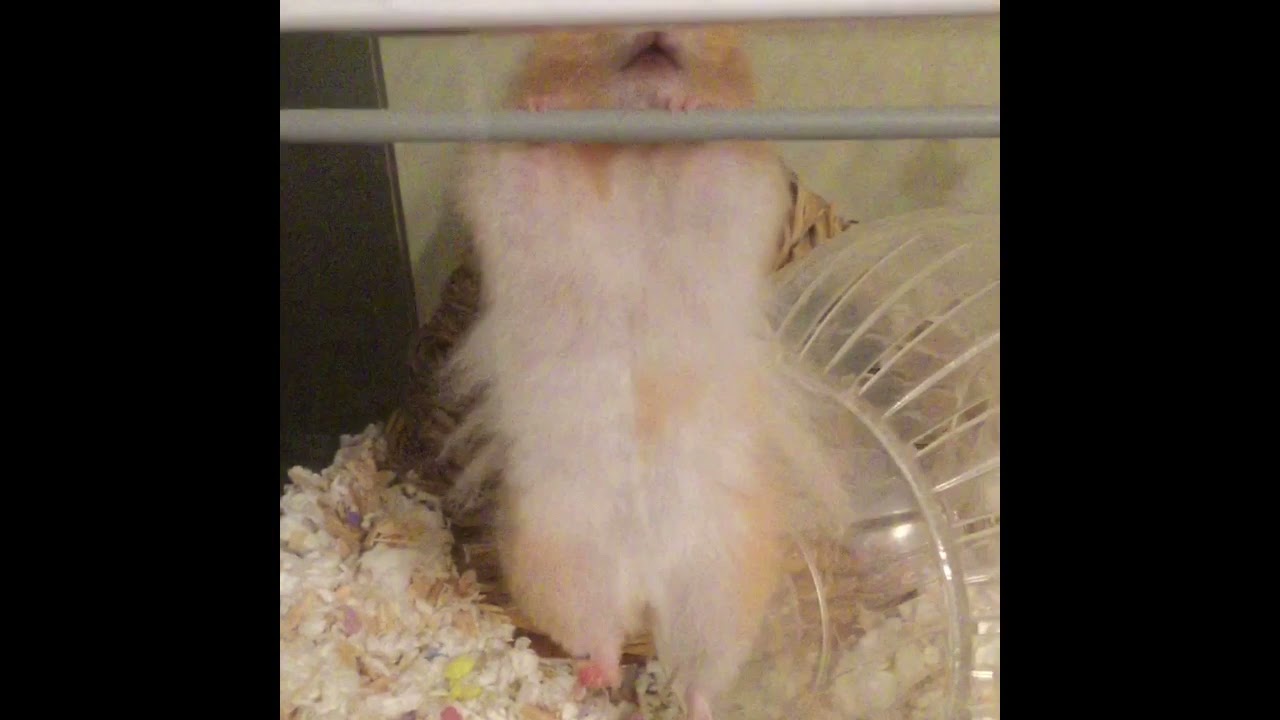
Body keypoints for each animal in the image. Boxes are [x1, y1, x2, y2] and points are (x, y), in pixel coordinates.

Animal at [449, 26, 851, 720]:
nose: (659, 34)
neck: (634, 154)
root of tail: (644, 580)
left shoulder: (731, 187)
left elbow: (711, 158)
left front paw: (686, 106)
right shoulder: (521, 197)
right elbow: (531, 162)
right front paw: (543, 108)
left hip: (721, 587)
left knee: (696, 673)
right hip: (559, 557)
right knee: (603, 641)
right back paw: (596, 680)